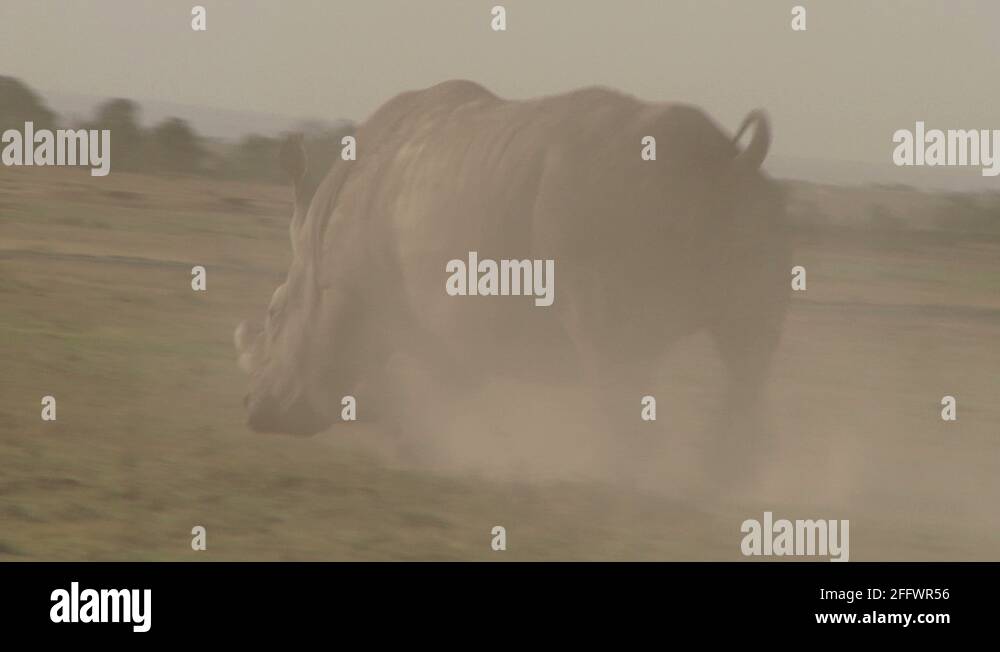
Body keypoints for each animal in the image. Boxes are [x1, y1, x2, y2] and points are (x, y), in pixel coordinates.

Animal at [235, 80, 791, 442]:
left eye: (273, 315)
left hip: (603, 213)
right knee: (748, 358)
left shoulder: (354, 292)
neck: (314, 253)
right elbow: (443, 380)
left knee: (615, 362)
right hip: (757, 212)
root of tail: (725, 160)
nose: (254, 410)